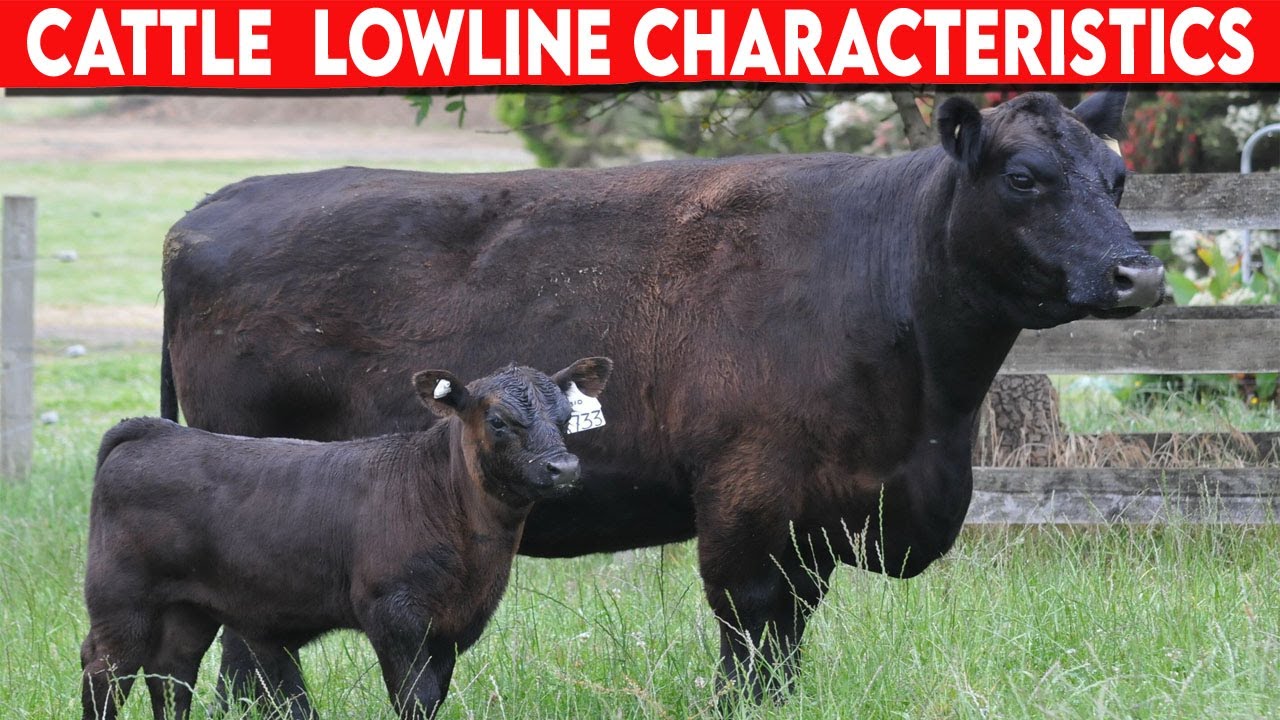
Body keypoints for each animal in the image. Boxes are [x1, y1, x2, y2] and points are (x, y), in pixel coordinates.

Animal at [80, 358, 613, 720]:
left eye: (566, 417)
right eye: (498, 421)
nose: (563, 468)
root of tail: (155, 431)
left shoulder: (453, 627)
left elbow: (433, 696)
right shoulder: (393, 613)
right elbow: (415, 699)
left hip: (188, 609)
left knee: (172, 671)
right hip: (121, 601)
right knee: (106, 668)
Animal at [160, 90, 1164, 709]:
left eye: (1117, 178)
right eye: (1024, 178)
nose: (1140, 273)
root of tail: (213, 208)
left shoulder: (818, 518)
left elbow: (789, 636)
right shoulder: (749, 496)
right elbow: (753, 631)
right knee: (251, 654)